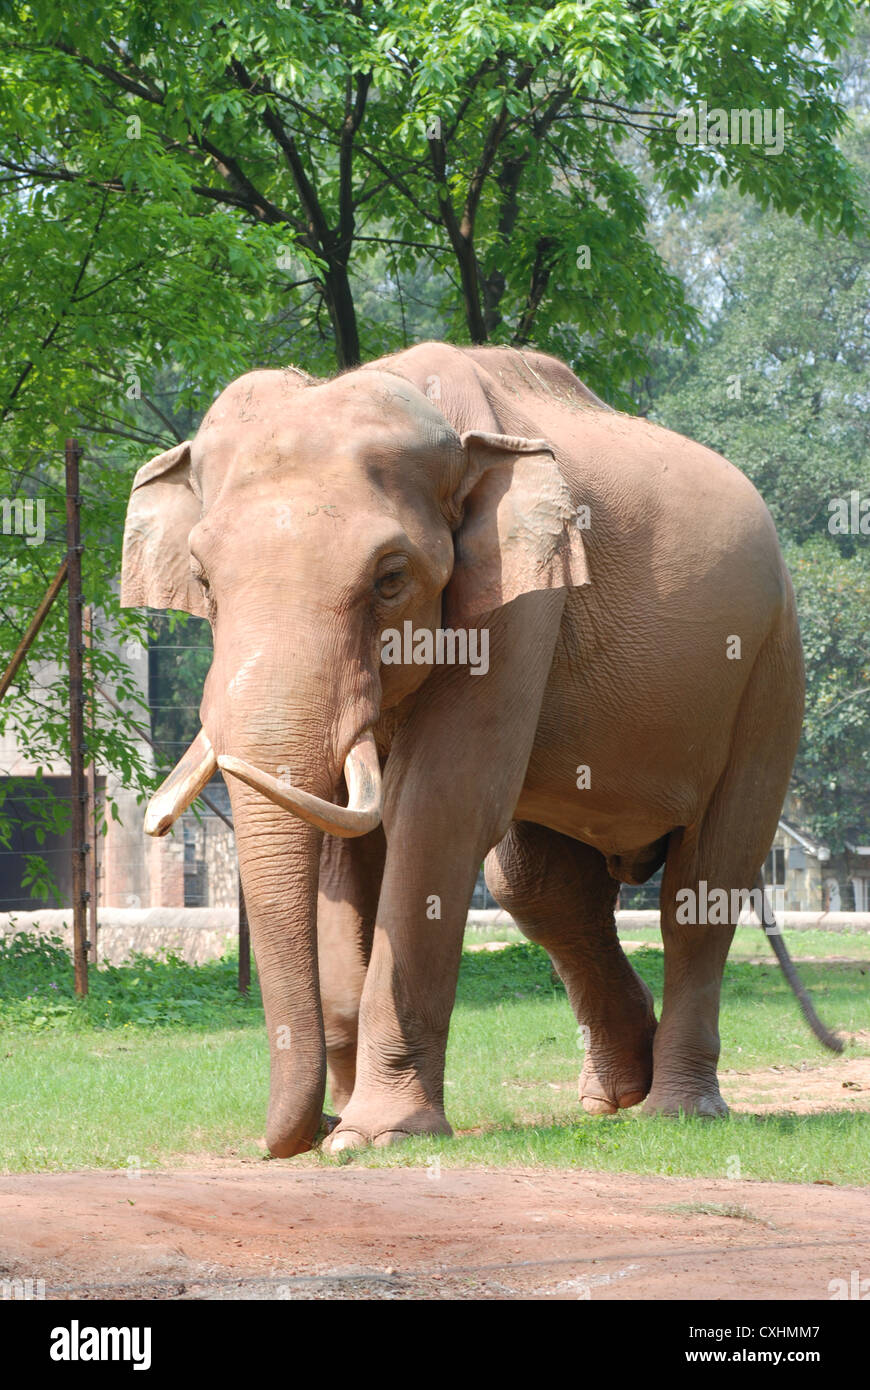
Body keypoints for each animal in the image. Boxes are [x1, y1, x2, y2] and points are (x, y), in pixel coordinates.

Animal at [121, 342, 839, 1157]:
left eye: (391, 577)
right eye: (203, 579)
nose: (302, 1135)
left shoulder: (520, 600)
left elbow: (438, 809)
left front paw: (374, 1137)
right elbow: (346, 838)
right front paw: (344, 1125)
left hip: (770, 673)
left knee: (707, 876)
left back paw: (676, 1109)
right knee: (539, 884)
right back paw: (618, 1091)